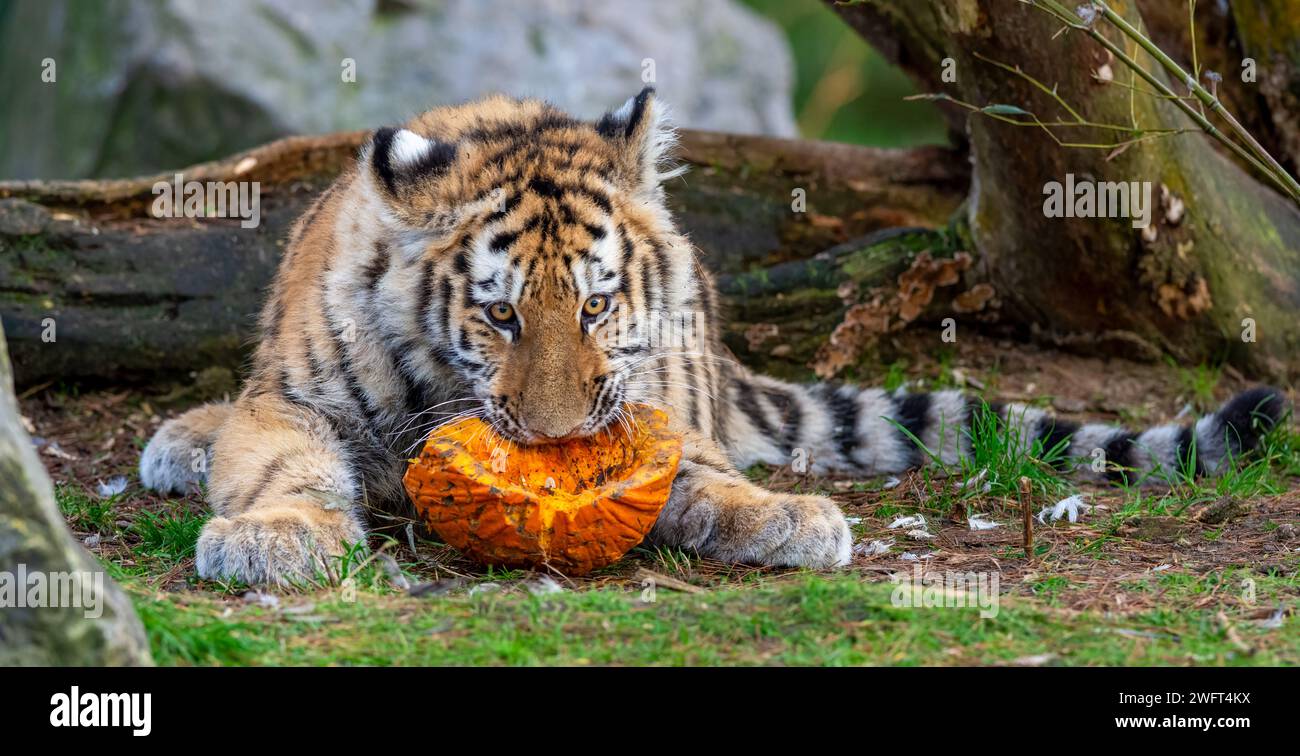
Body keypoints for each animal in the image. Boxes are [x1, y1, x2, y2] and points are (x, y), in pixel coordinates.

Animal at [139, 88, 1286, 586]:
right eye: (500, 314)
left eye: (595, 307)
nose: (554, 438)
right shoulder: (297, 404)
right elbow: (284, 462)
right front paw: (274, 535)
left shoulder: (650, 416)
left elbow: (697, 471)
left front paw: (779, 518)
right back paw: (183, 440)